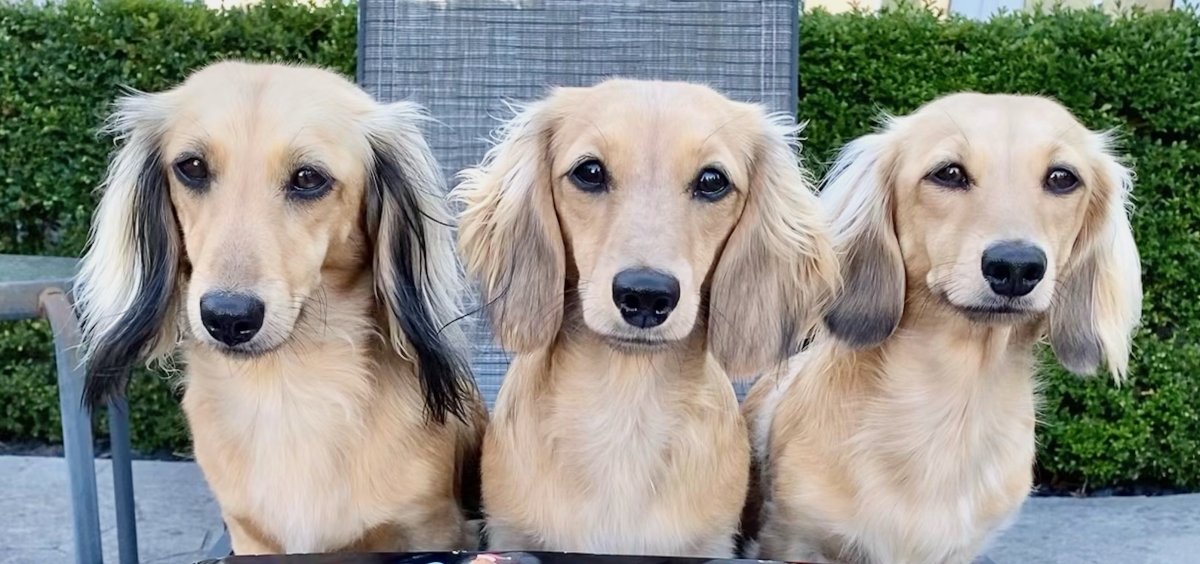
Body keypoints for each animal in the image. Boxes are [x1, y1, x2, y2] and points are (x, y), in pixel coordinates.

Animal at [74, 61, 486, 554]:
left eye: (308, 178)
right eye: (191, 167)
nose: (228, 318)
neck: (285, 389)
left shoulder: (432, 527)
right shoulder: (249, 535)